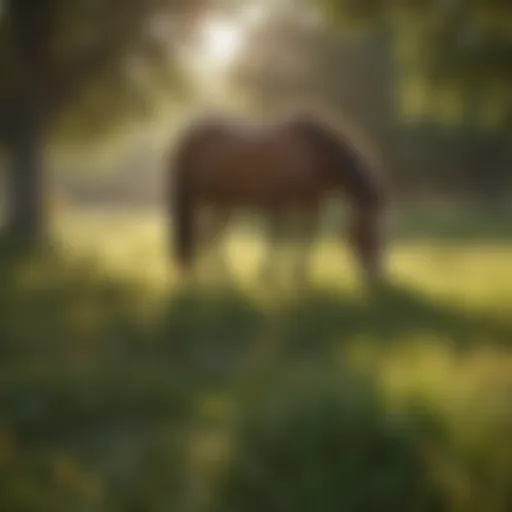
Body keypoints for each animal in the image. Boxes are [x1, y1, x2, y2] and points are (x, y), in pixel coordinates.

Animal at [166, 112, 386, 286]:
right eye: (368, 231)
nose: (375, 274)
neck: (314, 154)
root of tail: (189, 140)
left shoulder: (303, 204)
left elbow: (295, 238)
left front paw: (286, 274)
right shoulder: (302, 205)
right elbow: (299, 237)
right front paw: (289, 274)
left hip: (218, 201)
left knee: (211, 234)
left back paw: (216, 274)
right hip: (204, 200)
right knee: (209, 235)